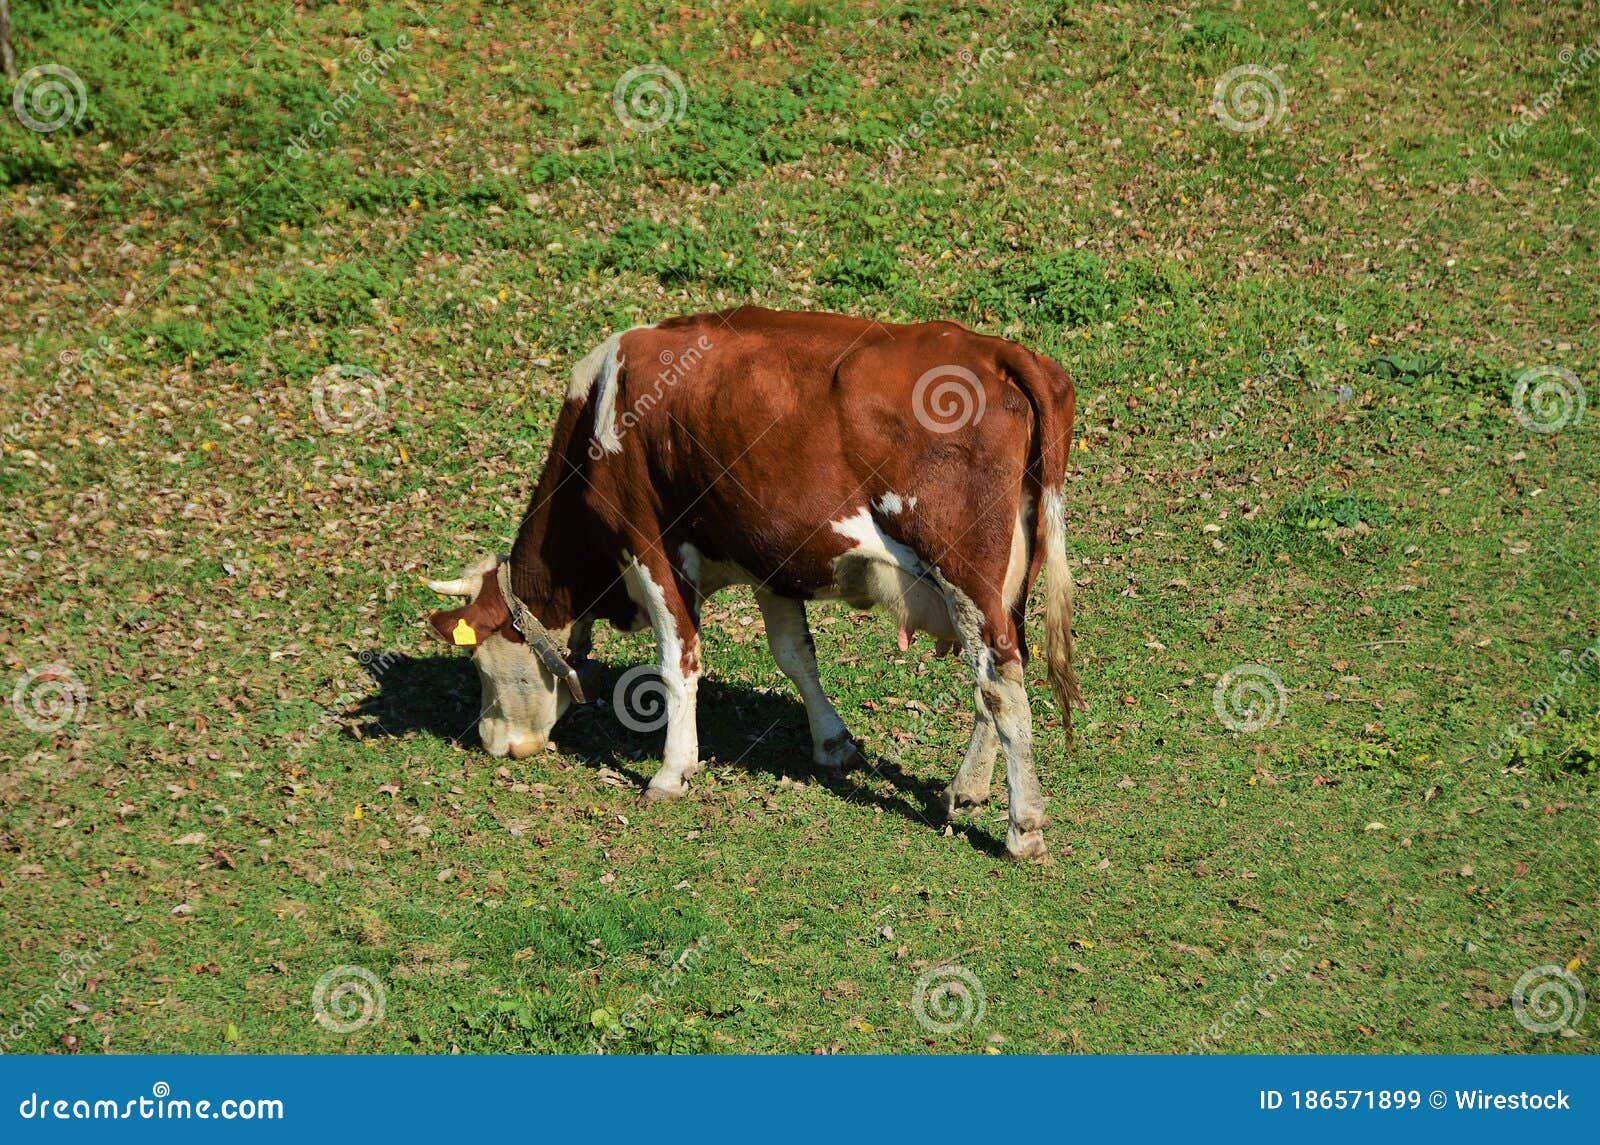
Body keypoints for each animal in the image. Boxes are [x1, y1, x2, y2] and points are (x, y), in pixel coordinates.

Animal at [426, 307, 1084, 858]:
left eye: (481, 664)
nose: (493, 742)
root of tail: (996, 350)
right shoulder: (771, 553)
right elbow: (795, 656)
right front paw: (832, 744)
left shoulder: (649, 546)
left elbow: (678, 662)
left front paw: (671, 771)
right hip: (1005, 579)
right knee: (998, 673)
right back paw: (964, 790)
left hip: (962, 566)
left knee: (1000, 680)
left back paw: (1022, 828)